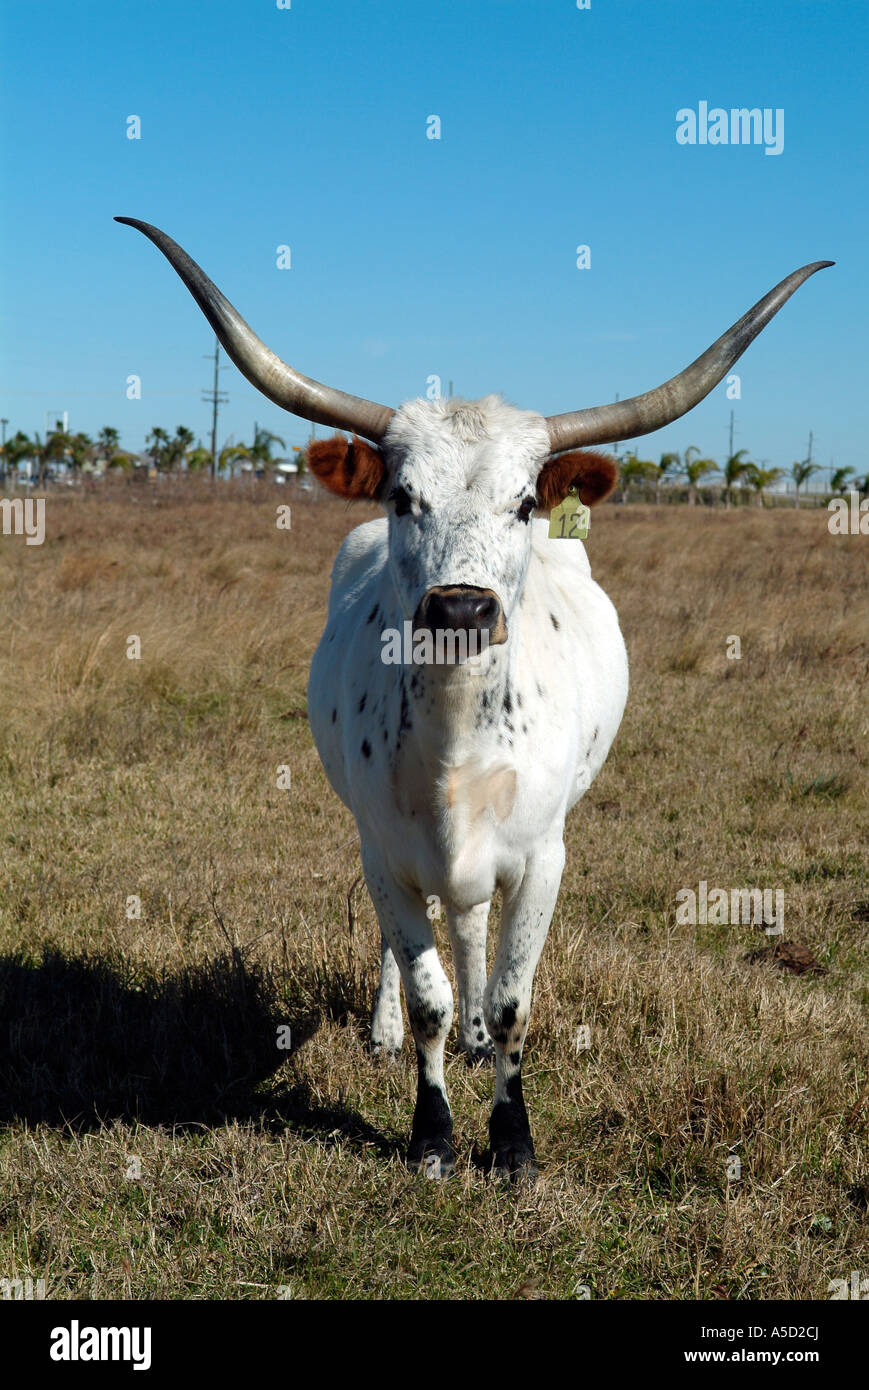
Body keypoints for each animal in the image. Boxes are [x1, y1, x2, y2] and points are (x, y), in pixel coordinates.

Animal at [116, 218, 830, 1179]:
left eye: (524, 501)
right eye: (401, 494)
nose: (460, 609)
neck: (456, 740)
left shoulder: (544, 858)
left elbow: (513, 995)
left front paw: (513, 1138)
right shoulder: (383, 850)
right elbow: (427, 993)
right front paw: (433, 1134)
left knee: (474, 931)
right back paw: (391, 1031)